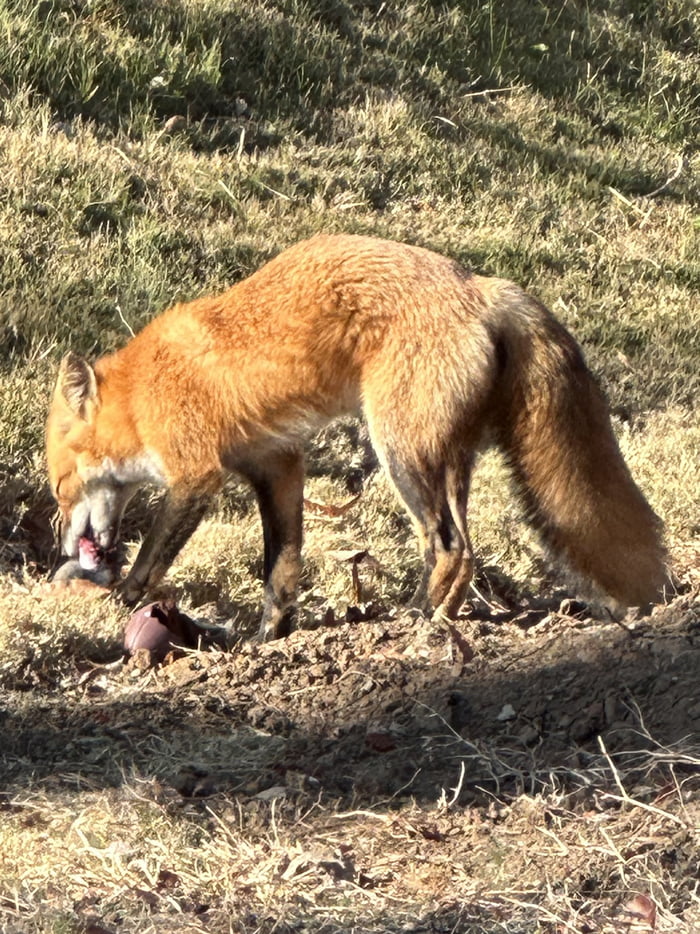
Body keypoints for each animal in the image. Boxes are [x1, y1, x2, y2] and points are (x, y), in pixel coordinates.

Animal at [46, 234, 669, 639]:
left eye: (58, 487)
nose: (63, 547)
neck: (141, 398)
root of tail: (482, 284)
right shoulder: (278, 465)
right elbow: (282, 567)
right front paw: (268, 638)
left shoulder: (197, 474)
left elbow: (152, 559)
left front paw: (116, 600)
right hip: (448, 459)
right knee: (464, 550)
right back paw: (442, 620)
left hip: (401, 452)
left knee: (450, 546)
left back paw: (414, 619)